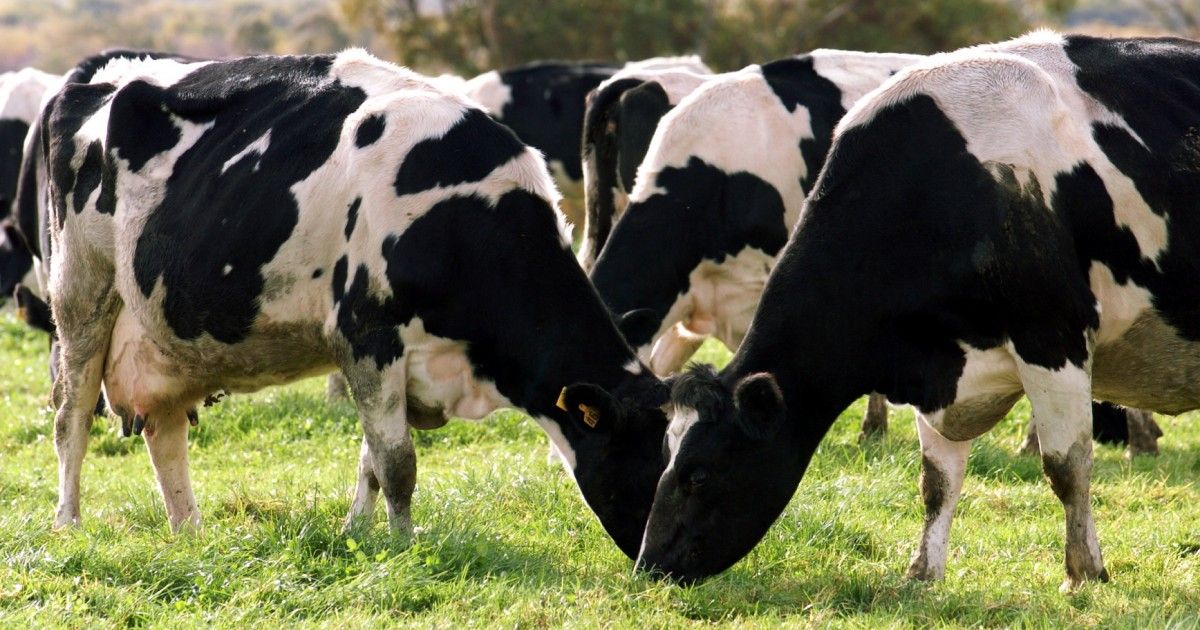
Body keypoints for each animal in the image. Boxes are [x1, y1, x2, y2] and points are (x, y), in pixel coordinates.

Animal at [40, 49, 670, 560]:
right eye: (656, 463)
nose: (669, 567)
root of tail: (96, 79)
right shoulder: (367, 334)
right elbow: (397, 464)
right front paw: (404, 545)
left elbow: (372, 460)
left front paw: (358, 533)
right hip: (82, 294)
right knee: (72, 417)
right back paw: (68, 525)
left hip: (163, 334)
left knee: (163, 429)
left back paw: (189, 531)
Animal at [635, 31, 1200, 590]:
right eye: (662, 457)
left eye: (698, 473)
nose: (648, 563)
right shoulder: (938, 363)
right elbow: (937, 480)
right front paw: (922, 573)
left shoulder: (1052, 336)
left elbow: (1066, 466)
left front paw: (1083, 572)